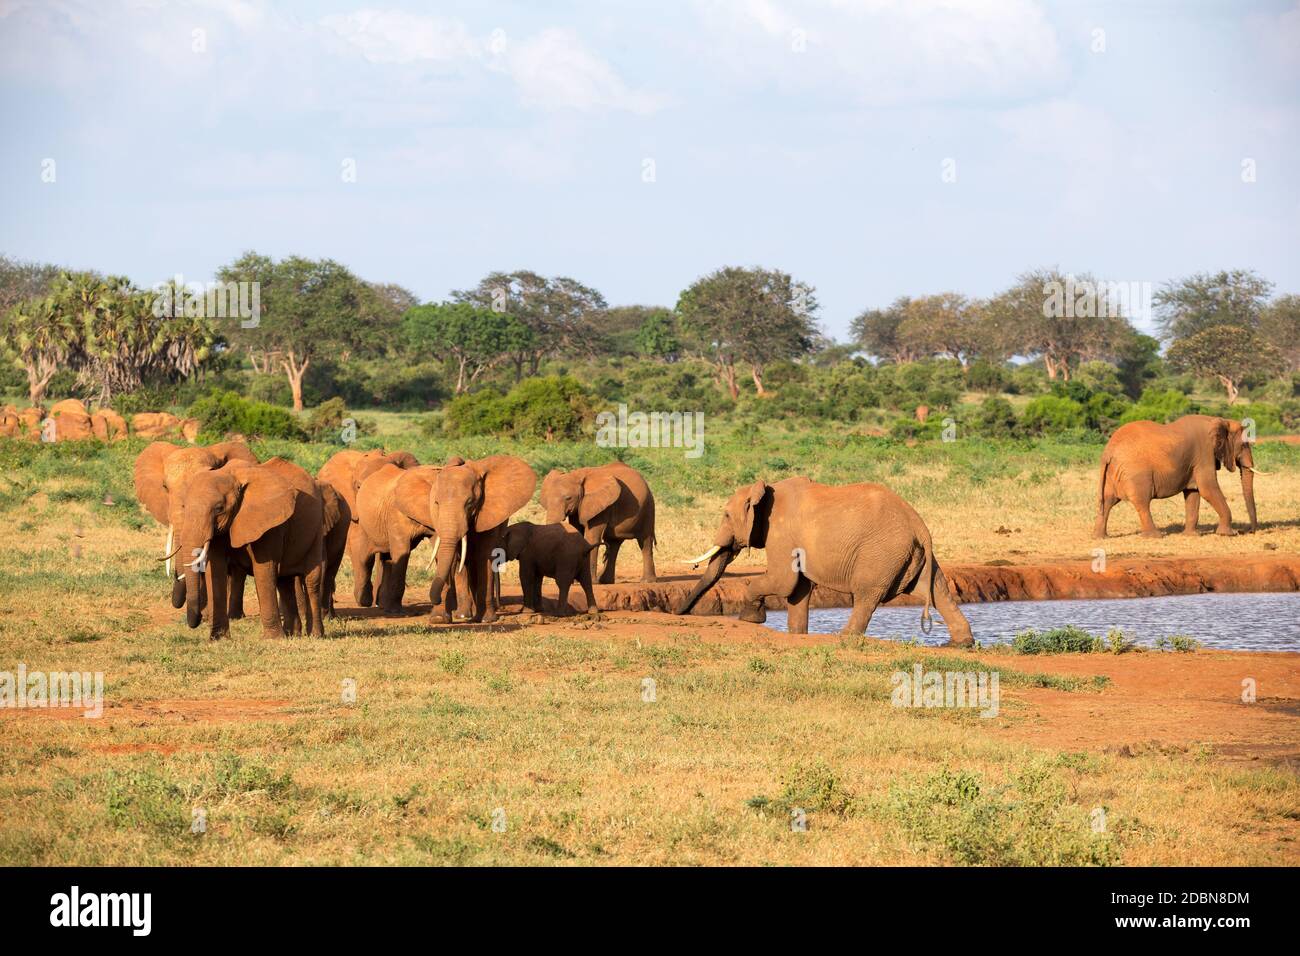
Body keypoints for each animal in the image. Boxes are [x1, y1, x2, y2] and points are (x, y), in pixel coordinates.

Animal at [167, 457, 326, 639]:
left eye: (219, 509)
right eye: (184, 507)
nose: (199, 618)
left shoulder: (270, 523)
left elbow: (264, 570)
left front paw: (272, 639)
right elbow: (215, 569)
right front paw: (219, 639)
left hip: (316, 529)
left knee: (311, 580)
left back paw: (315, 635)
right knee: (284, 581)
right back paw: (292, 634)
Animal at [428, 456, 537, 624]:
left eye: (469, 503)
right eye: (436, 503)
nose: (436, 599)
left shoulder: (489, 514)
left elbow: (484, 556)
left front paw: (487, 620)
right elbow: (450, 558)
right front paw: (439, 620)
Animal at [675, 477, 974, 646]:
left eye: (726, 515)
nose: (679, 612)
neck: (765, 489)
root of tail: (919, 526)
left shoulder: (781, 532)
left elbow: (783, 581)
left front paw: (751, 619)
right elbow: (797, 589)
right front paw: (797, 634)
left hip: (881, 552)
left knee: (866, 594)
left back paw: (845, 637)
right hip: (909, 554)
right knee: (935, 590)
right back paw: (962, 643)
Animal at [1094, 414, 1266, 538]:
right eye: (1244, 445)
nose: (1248, 531)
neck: (1218, 420)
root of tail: (1108, 451)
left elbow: (1193, 493)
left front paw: (1191, 536)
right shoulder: (1204, 454)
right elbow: (1207, 488)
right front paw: (1228, 534)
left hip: (1112, 472)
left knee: (1107, 501)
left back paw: (1101, 537)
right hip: (1135, 473)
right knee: (1142, 502)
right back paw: (1154, 536)